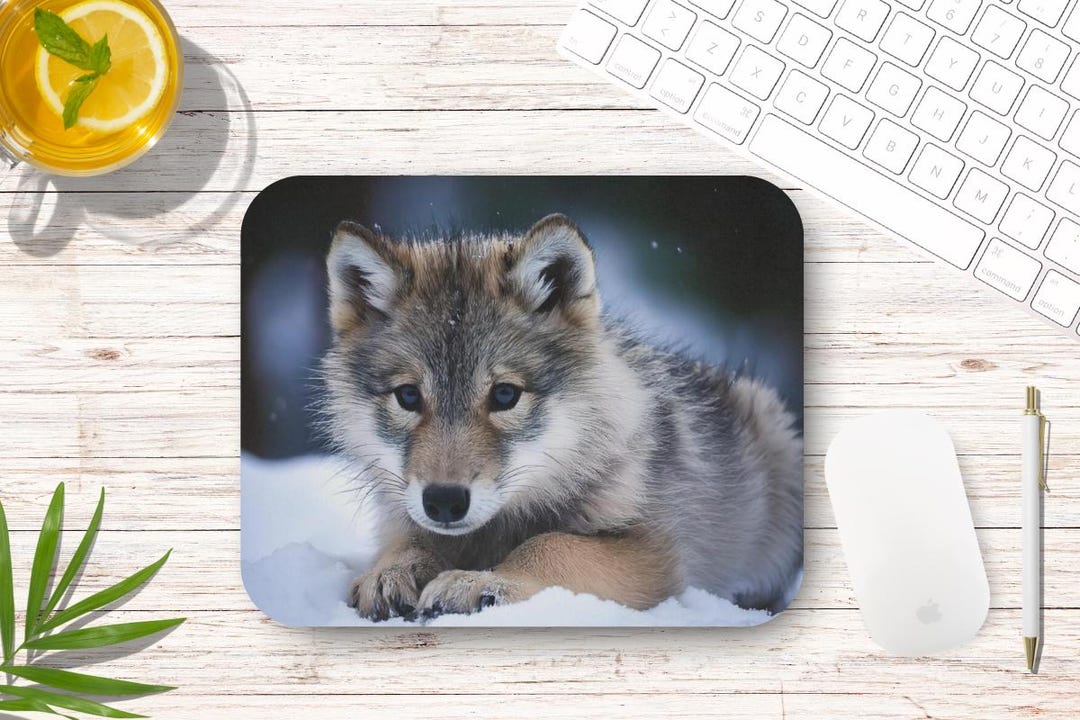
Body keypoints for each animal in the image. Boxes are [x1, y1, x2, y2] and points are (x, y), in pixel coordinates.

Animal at [320, 213, 803, 621]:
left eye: (505, 394)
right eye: (408, 396)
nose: (443, 501)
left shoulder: (651, 551)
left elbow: (549, 544)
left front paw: (479, 583)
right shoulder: (407, 517)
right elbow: (410, 542)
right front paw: (390, 573)